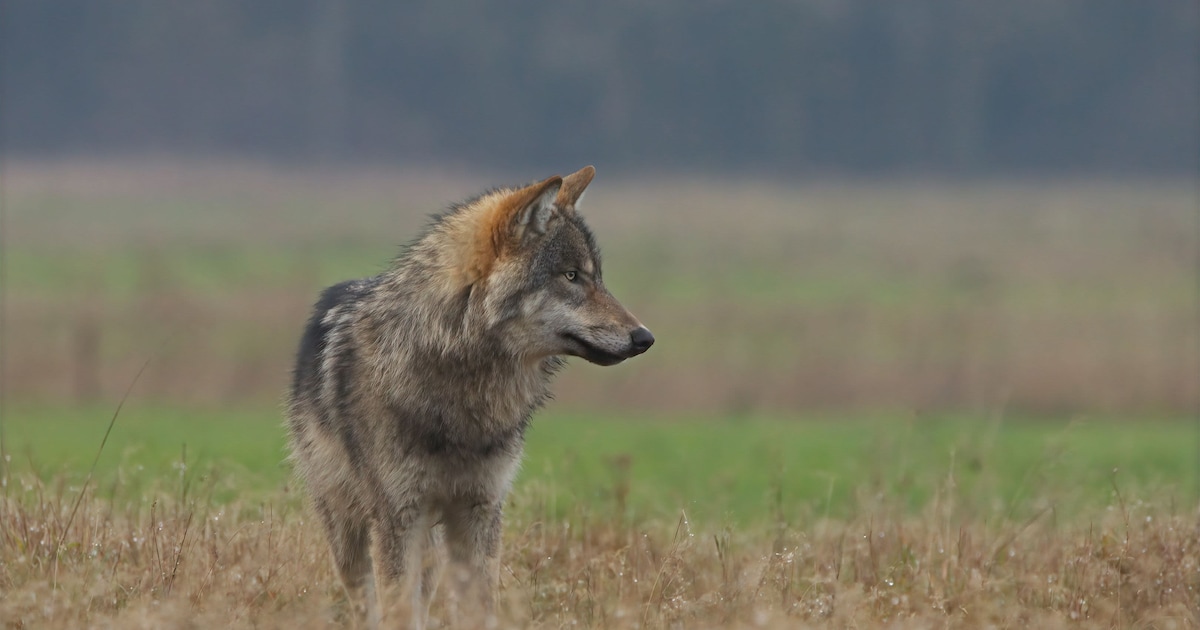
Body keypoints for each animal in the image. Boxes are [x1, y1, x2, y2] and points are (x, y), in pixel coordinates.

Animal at [286, 166, 653, 627]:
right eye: (571, 276)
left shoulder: (480, 511)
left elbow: (478, 609)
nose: (645, 337)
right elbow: (398, 611)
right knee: (365, 600)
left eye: (596, 276)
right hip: (348, 531)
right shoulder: (398, 517)